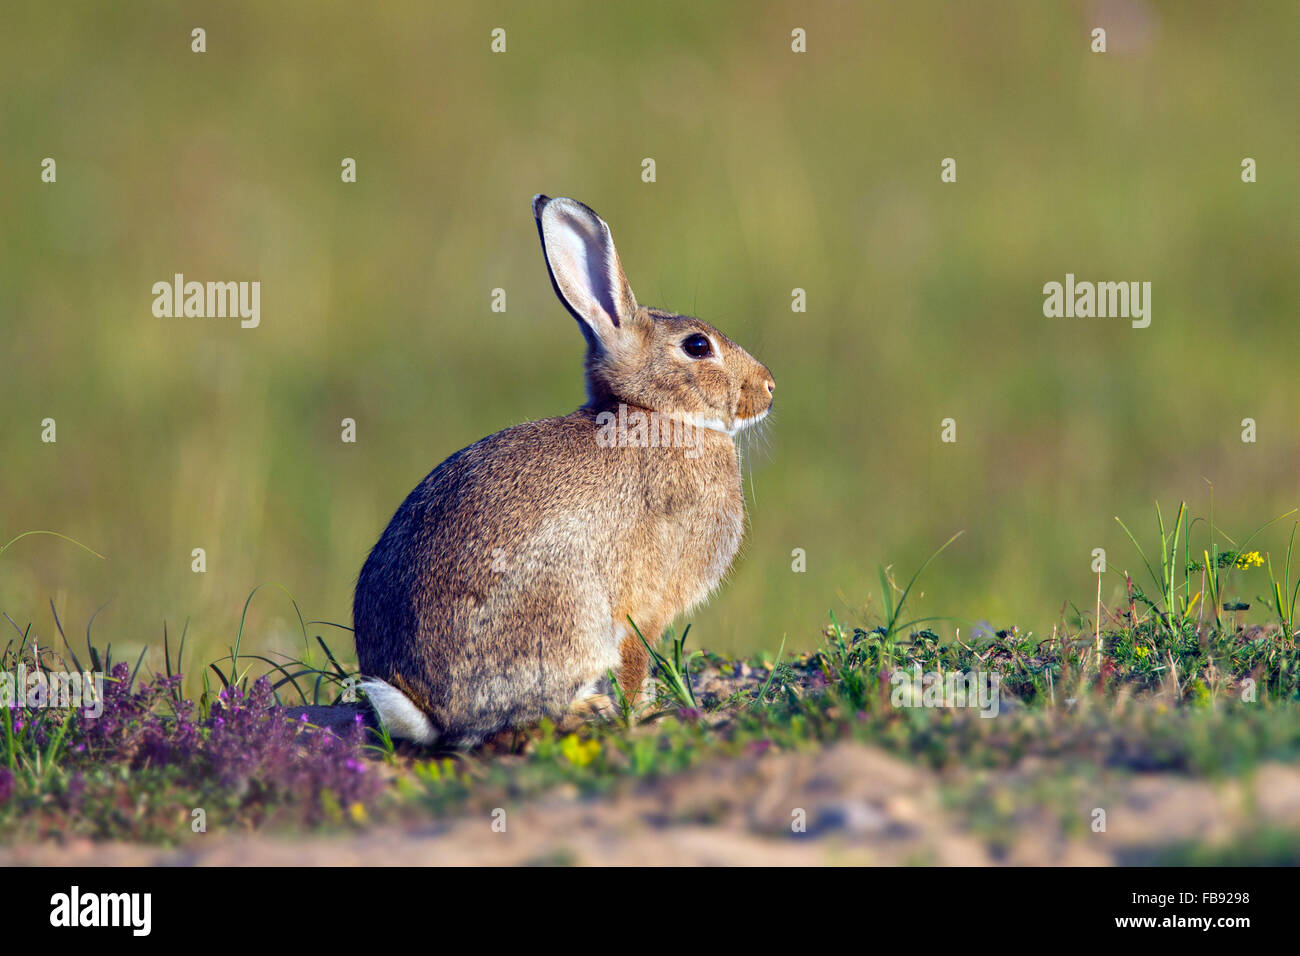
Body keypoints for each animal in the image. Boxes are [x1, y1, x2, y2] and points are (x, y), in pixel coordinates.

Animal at [353, 195, 774, 747]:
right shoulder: (643, 608)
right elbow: (636, 663)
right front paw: (645, 715)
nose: (769, 387)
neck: (655, 413)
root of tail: (426, 709)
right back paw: (590, 709)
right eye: (698, 346)